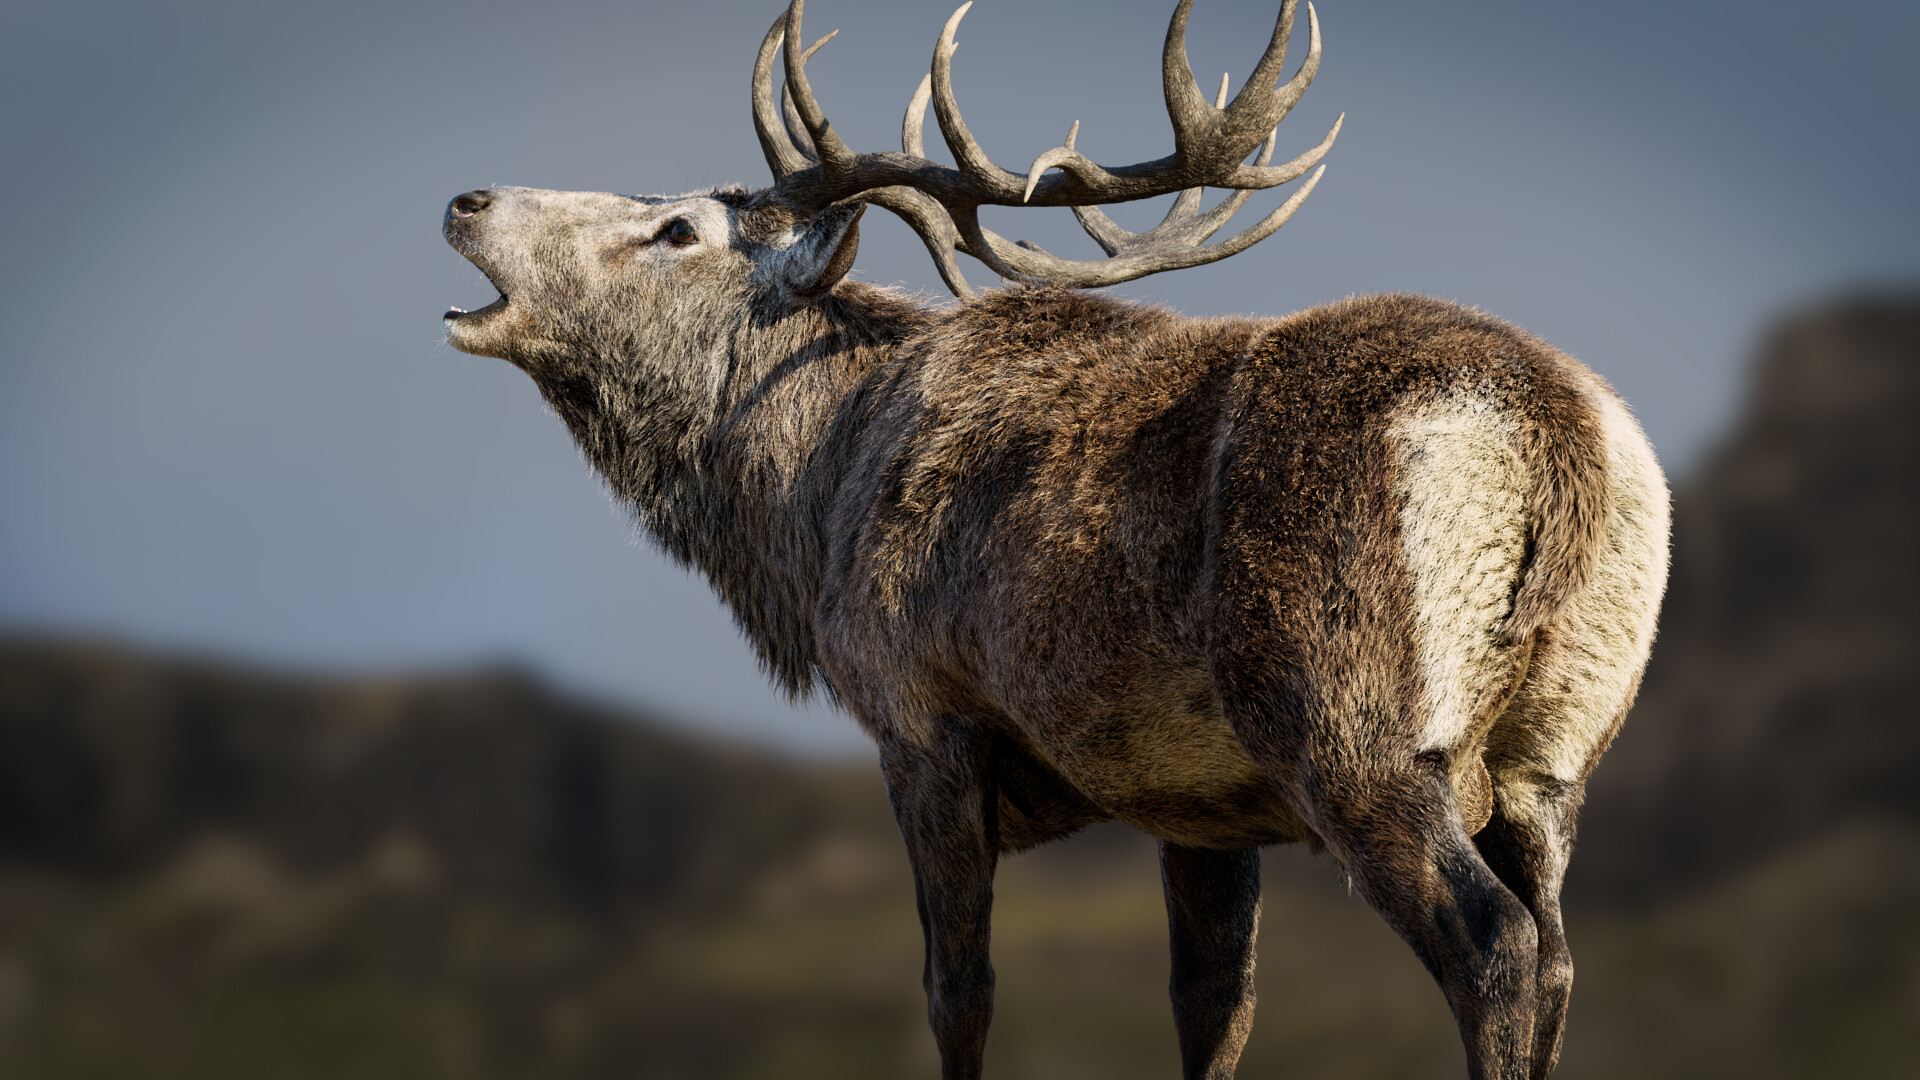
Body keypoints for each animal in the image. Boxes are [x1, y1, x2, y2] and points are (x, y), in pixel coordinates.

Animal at [437, 1, 1668, 1076]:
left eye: (678, 228)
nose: (465, 199)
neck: (811, 499)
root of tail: (1558, 432)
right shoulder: (1201, 804)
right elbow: (1213, 1006)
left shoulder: (920, 718)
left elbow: (958, 994)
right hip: (1556, 754)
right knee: (1559, 957)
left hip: (1356, 719)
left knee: (1496, 947)